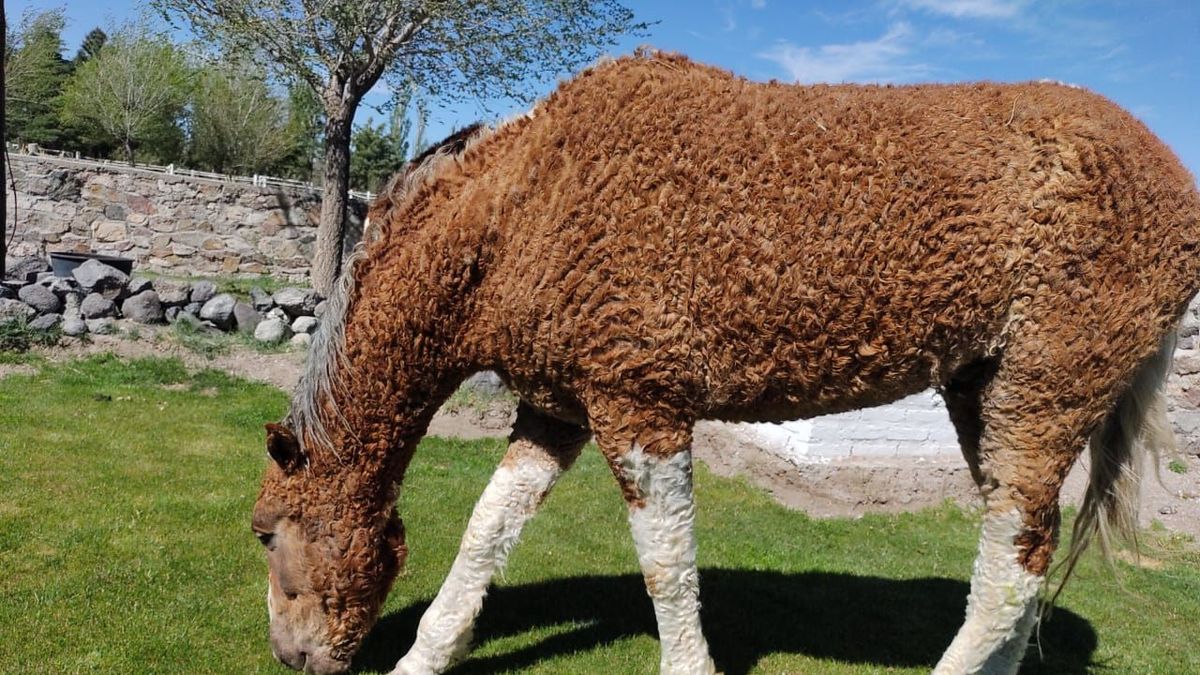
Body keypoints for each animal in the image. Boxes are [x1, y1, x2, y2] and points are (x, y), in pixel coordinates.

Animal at [252, 51, 1200, 674]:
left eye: (265, 532)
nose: (292, 657)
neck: (525, 205)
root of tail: (1174, 185)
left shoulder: (641, 409)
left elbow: (667, 562)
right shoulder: (556, 411)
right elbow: (487, 530)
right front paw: (428, 654)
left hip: (1043, 391)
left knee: (1012, 568)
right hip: (985, 392)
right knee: (1018, 558)